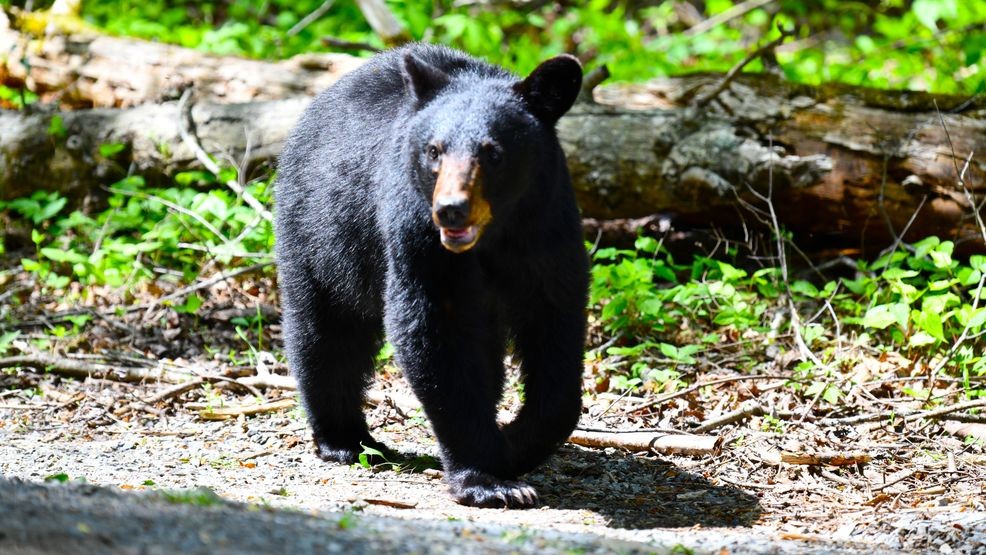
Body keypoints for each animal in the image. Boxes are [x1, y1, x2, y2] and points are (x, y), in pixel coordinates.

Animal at [275, 43, 587, 509]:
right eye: (434, 150)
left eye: (493, 152)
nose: (451, 209)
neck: (493, 237)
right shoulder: (416, 234)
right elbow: (433, 330)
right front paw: (488, 479)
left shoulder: (547, 231)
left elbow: (555, 325)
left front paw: (516, 441)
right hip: (319, 236)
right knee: (325, 334)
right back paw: (345, 439)